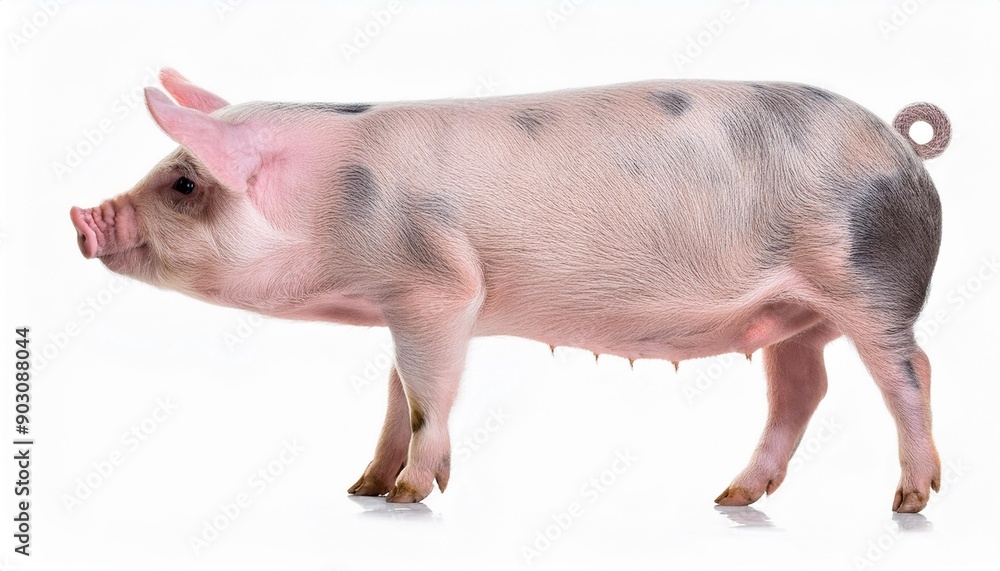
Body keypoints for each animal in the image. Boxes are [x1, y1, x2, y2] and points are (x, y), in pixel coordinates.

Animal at [71, 69, 950, 512]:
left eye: (184, 184)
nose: (82, 218)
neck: (333, 199)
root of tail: (904, 146)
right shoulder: (400, 302)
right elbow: (397, 393)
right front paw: (361, 486)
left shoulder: (438, 284)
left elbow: (428, 392)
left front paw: (407, 495)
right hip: (797, 313)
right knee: (804, 387)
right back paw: (732, 497)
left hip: (871, 283)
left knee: (911, 372)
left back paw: (910, 499)